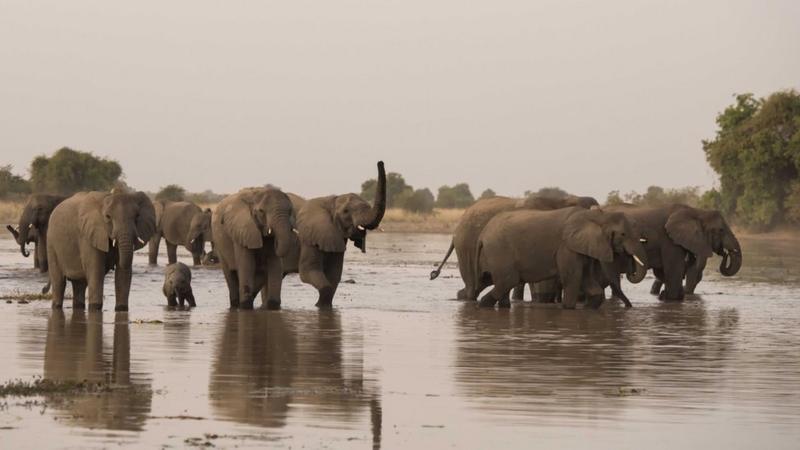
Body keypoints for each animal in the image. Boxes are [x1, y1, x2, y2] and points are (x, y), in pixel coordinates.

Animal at [291, 161, 386, 308]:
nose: (380, 162)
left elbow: (334, 275)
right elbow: (309, 272)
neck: (331, 201)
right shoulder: (309, 237)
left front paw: (322, 306)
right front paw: (319, 307)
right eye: (346, 212)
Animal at [474, 207, 648, 309]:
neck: (599, 215)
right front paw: (569, 308)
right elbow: (573, 278)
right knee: (508, 281)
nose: (630, 269)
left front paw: (589, 308)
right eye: (623, 234)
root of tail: (482, 234)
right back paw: (483, 305)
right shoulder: (567, 247)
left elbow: (589, 281)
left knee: (501, 283)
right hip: (499, 250)